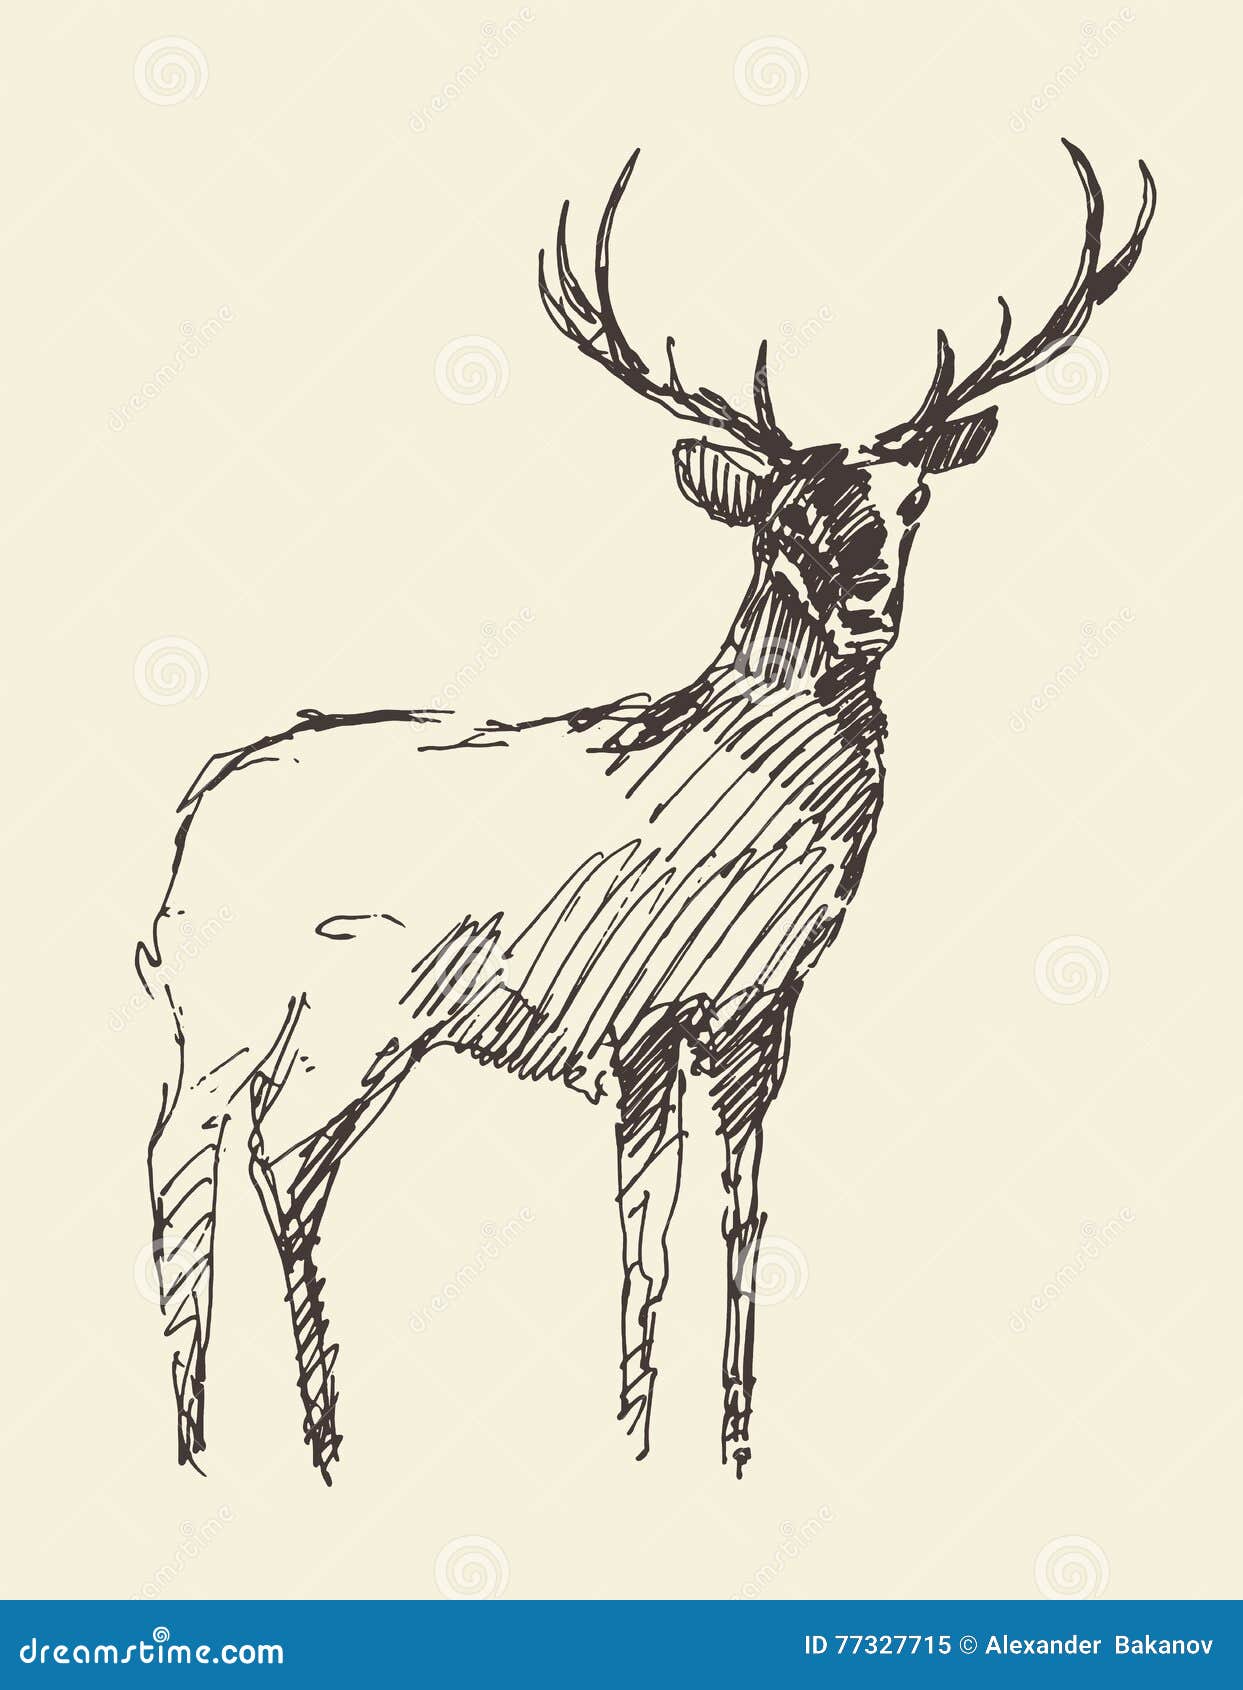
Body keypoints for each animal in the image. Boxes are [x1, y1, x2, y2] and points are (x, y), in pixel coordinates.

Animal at [141, 141, 1155, 1486]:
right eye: (782, 516)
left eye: (911, 505)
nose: (869, 608)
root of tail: (182, 837)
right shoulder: (639, 1012)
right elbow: (644, 1228)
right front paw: (630, 1441)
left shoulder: (759, 1007)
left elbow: (743, 1213)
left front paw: (733, 1443)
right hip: (276, 1014)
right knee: (209, 1168)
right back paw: (243, 1445)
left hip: (317, 1032)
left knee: (262, 1168)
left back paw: (291, 1442)